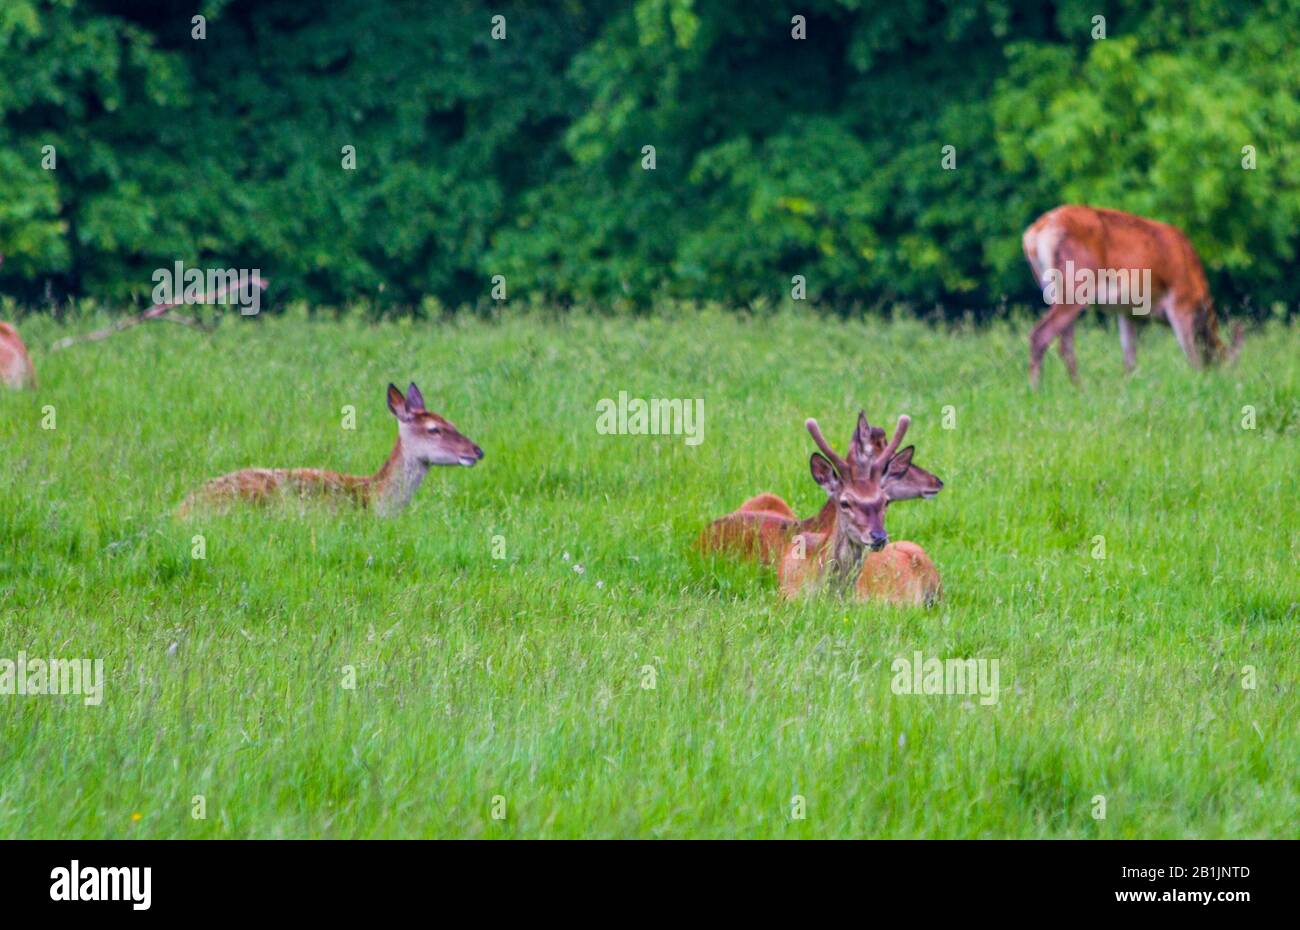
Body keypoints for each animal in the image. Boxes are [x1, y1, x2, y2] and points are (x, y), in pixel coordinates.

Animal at [1022, 205, 1243, 387]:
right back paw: (1036, 390)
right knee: (1040, 335)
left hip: (1054, 290)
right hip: (1076, 285)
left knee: (1064, 344)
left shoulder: (1127, 311)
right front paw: (1199, 381)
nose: (1227, 382)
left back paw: (1077, 389)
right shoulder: (1180, 302)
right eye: (1227, 366)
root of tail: (1034, 235)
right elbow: (1191, 354)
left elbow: (1129, 358)